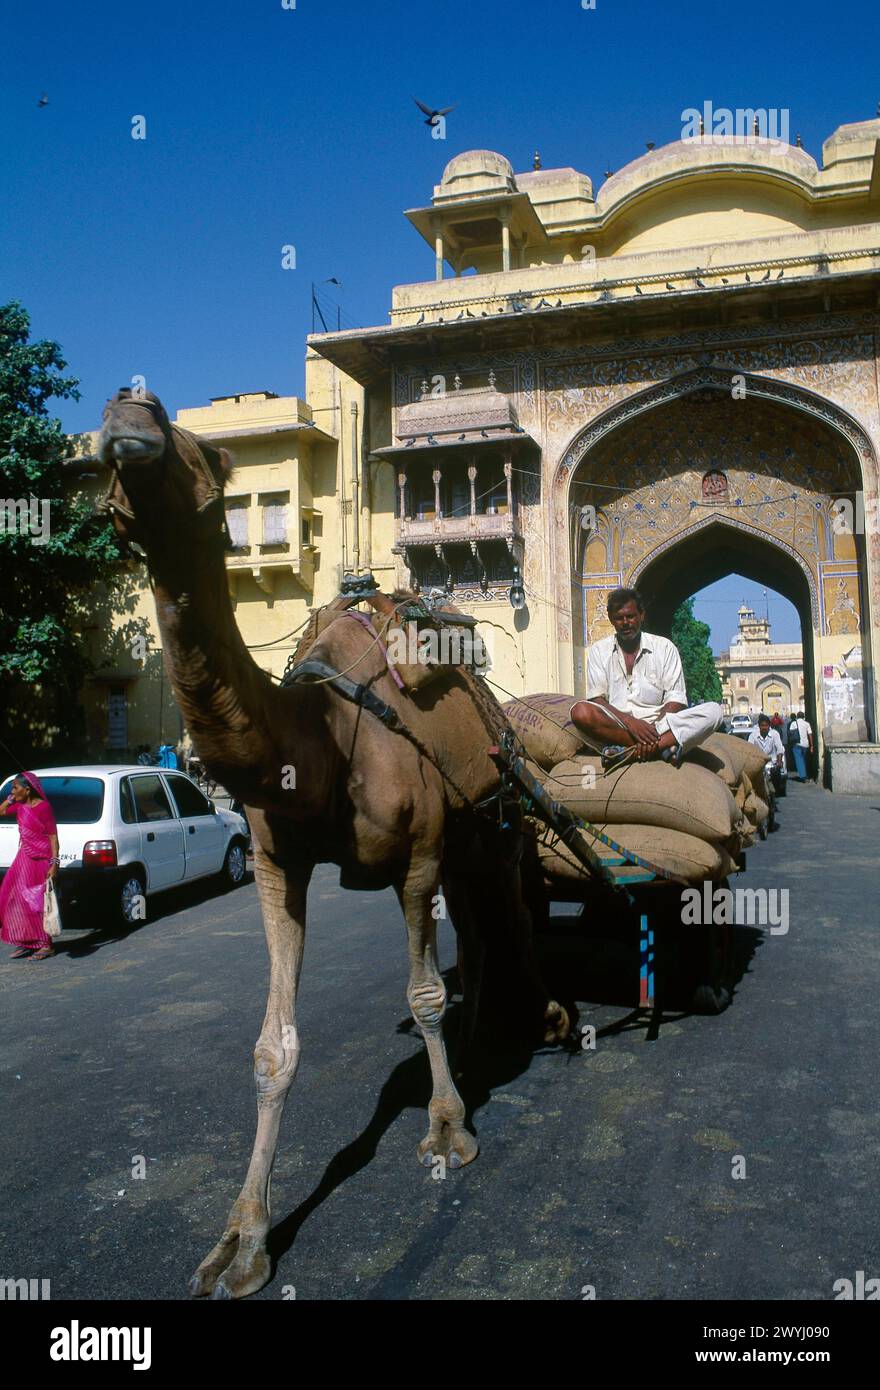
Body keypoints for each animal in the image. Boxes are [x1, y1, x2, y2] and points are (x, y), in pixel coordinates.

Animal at [91, 388, 568, 1299]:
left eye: (208, 453)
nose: (128, 415)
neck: (318, 741)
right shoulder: (280, 865)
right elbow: (272, 1047)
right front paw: (241, 1241)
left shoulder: (416, 855)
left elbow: (422, 996)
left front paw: (446, 1131)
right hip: (469, 841)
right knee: (483, 929)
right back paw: (484, 1036)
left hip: (496, 824)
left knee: (518, 916)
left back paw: (550, 1019)